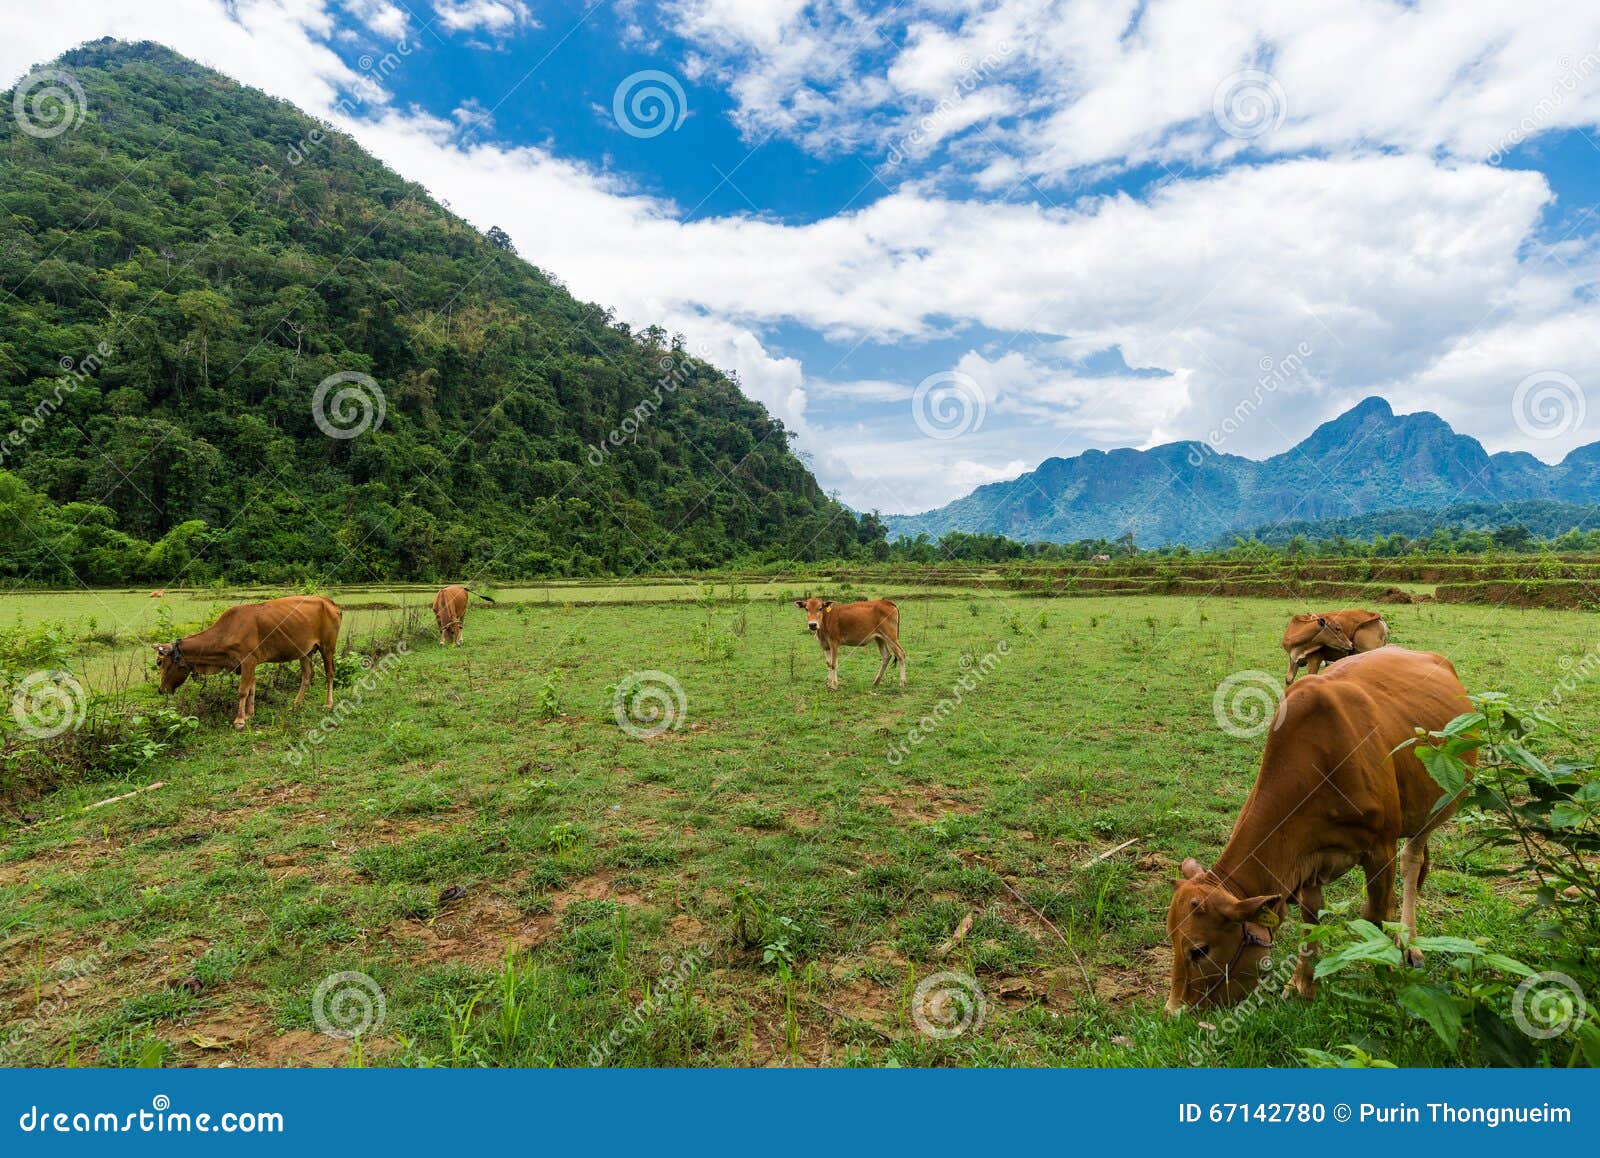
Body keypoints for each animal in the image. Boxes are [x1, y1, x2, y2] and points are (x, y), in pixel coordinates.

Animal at [153, 595, 343, 730]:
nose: (161, 690)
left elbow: (243, 691)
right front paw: (250, 714)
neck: (226, 632)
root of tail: (329, 602)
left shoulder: (248, 660)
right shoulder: (250, 663)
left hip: (327, 647)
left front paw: (239, 721)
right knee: (307, 675)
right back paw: (296, 704)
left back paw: (328, 703)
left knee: (329, 673)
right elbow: (252, 687)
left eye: (159, 662)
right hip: (305, 651)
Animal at [1164, 647, 1471, 1012]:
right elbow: (1311, 923)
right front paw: (1302, 985)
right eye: (1171, 938)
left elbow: (1374, 914)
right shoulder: (1308, 859)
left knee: (1412, 861)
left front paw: (1380, 972)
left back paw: (1409, 942)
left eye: (1199, 950)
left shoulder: (1380, 849)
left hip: (1436, 808)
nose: (1173, 1013)